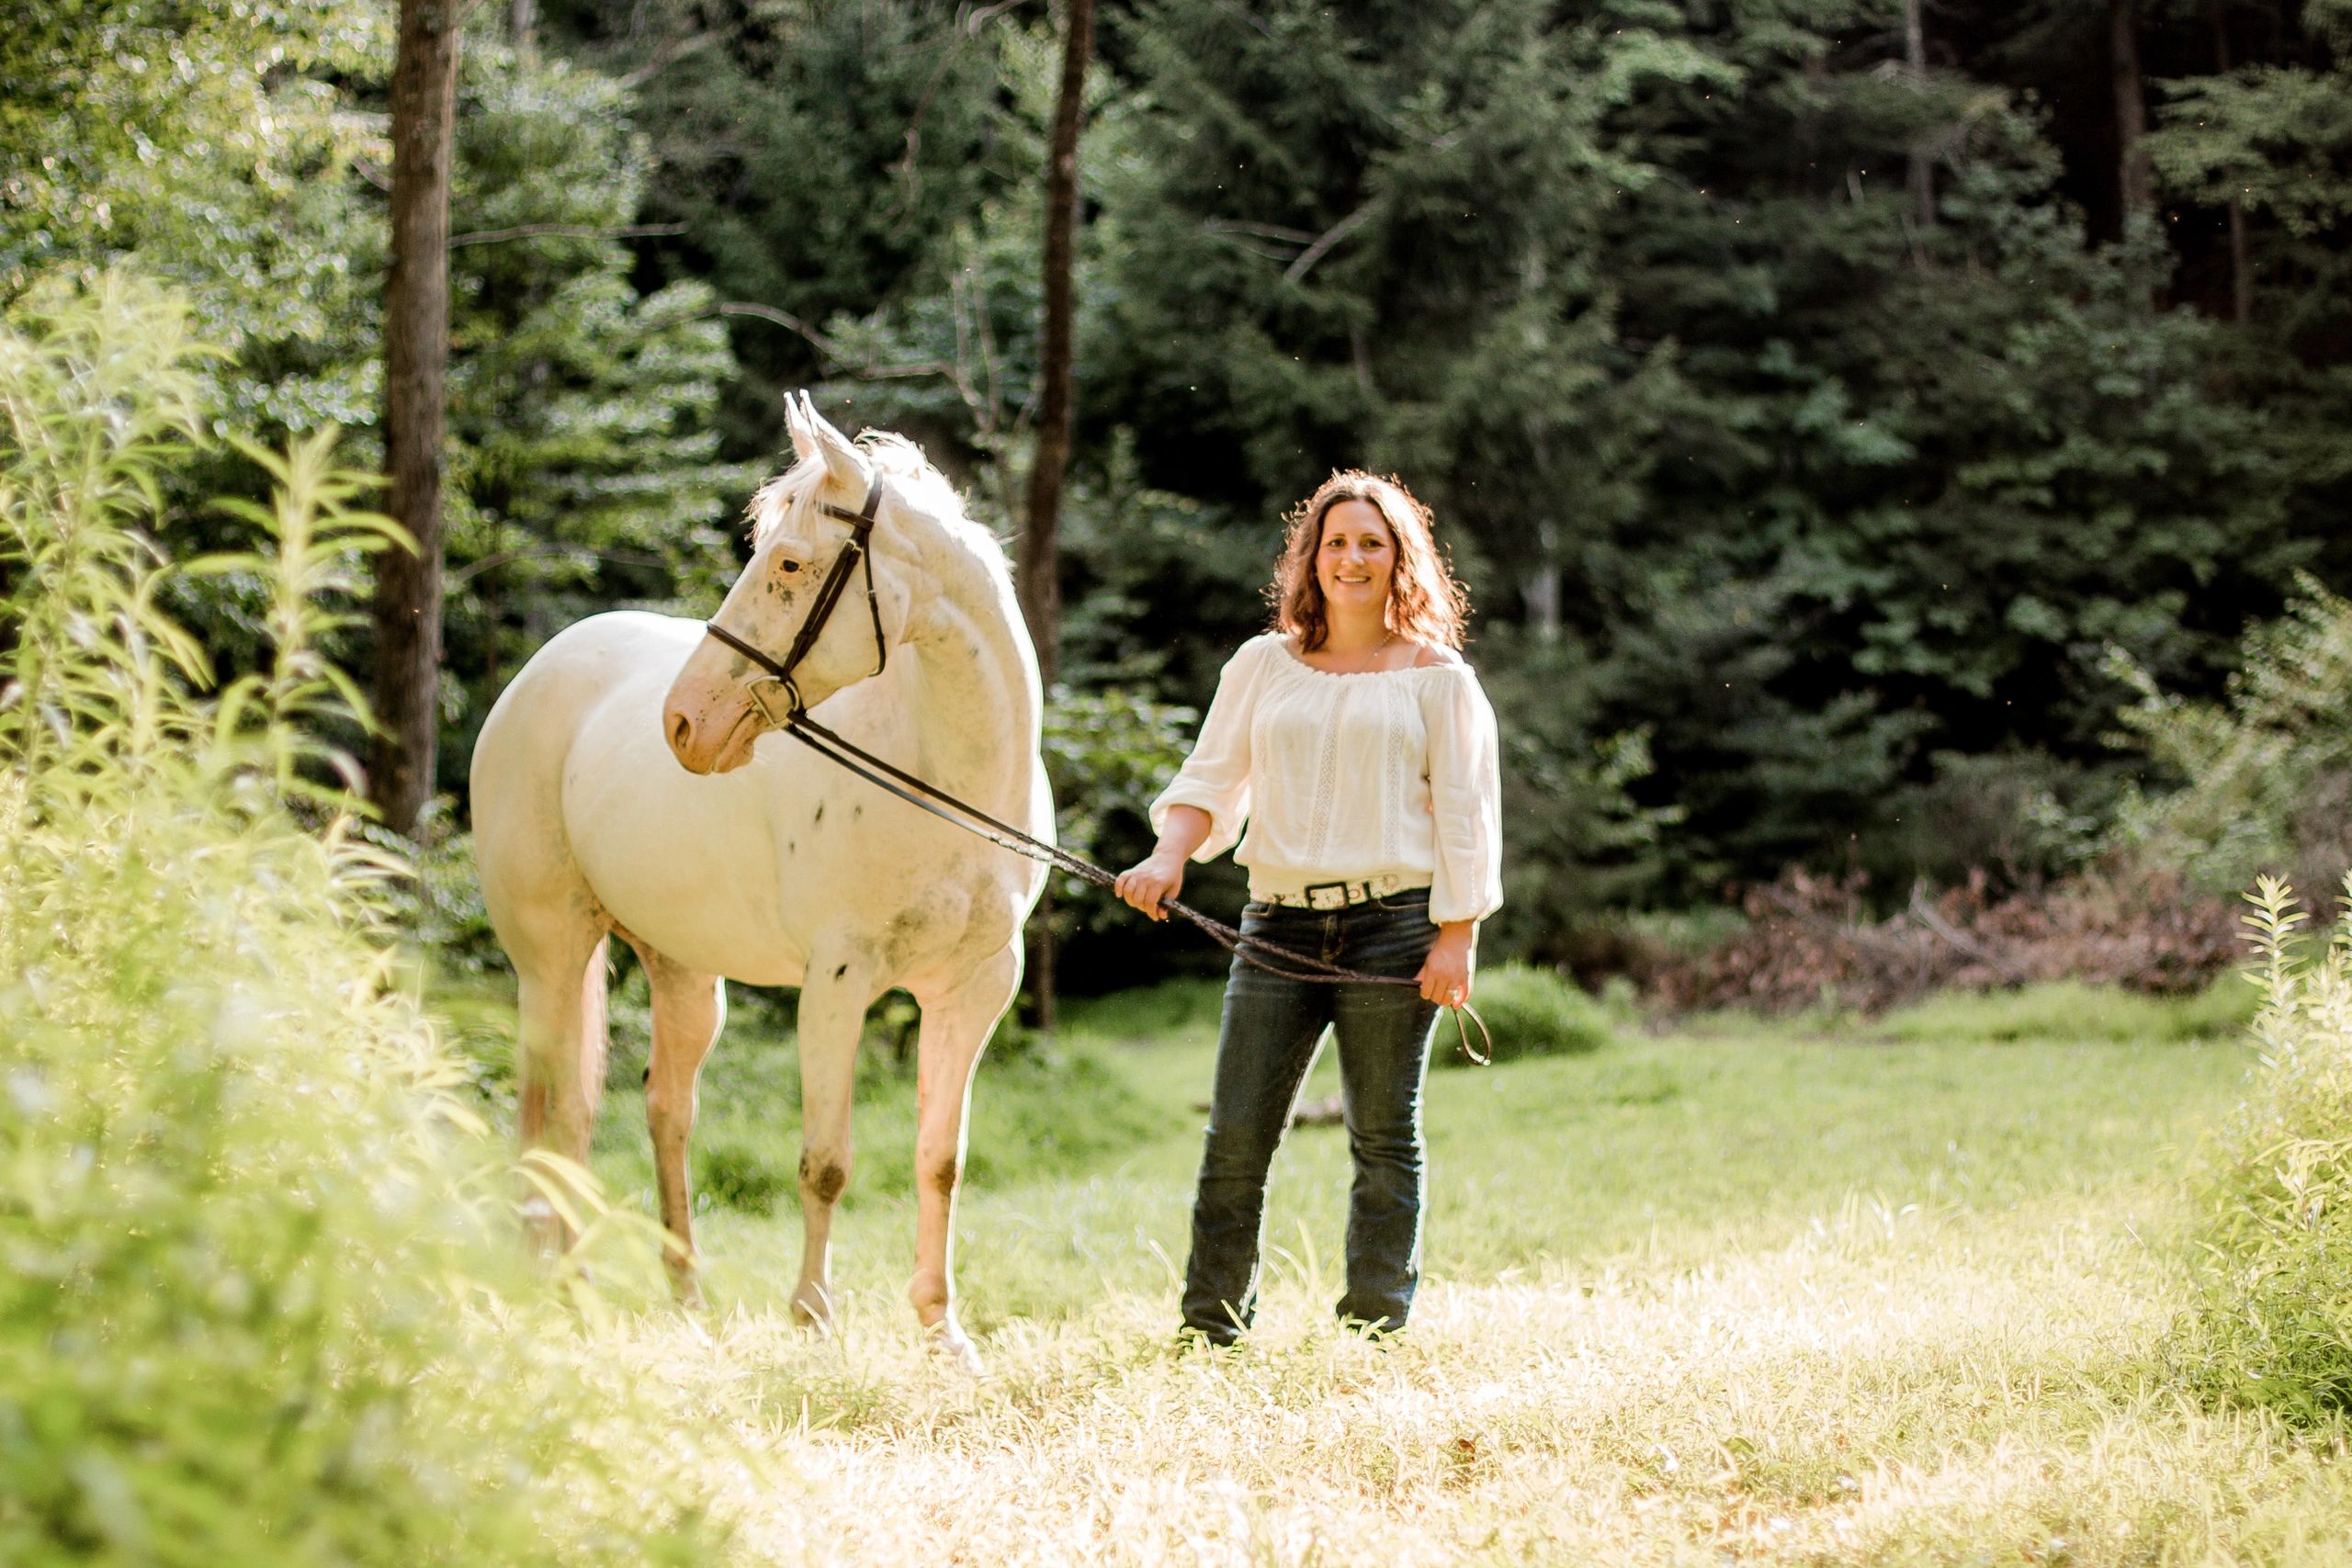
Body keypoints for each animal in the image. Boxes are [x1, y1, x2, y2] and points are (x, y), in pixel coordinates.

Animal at [470, 393, 1049, 1371]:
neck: (943, 776)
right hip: (552, 958)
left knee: (665, 1110)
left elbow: (941, 1159)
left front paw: (942, 1331)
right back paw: (569, 1296)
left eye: (788, 562)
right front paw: (812, 1317)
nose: (683, 721)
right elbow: (826, 1160)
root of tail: (535, 675)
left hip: (684, 974)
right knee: (561, 1114)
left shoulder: (974, 987)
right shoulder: (838, 982)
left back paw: (683, 1298)